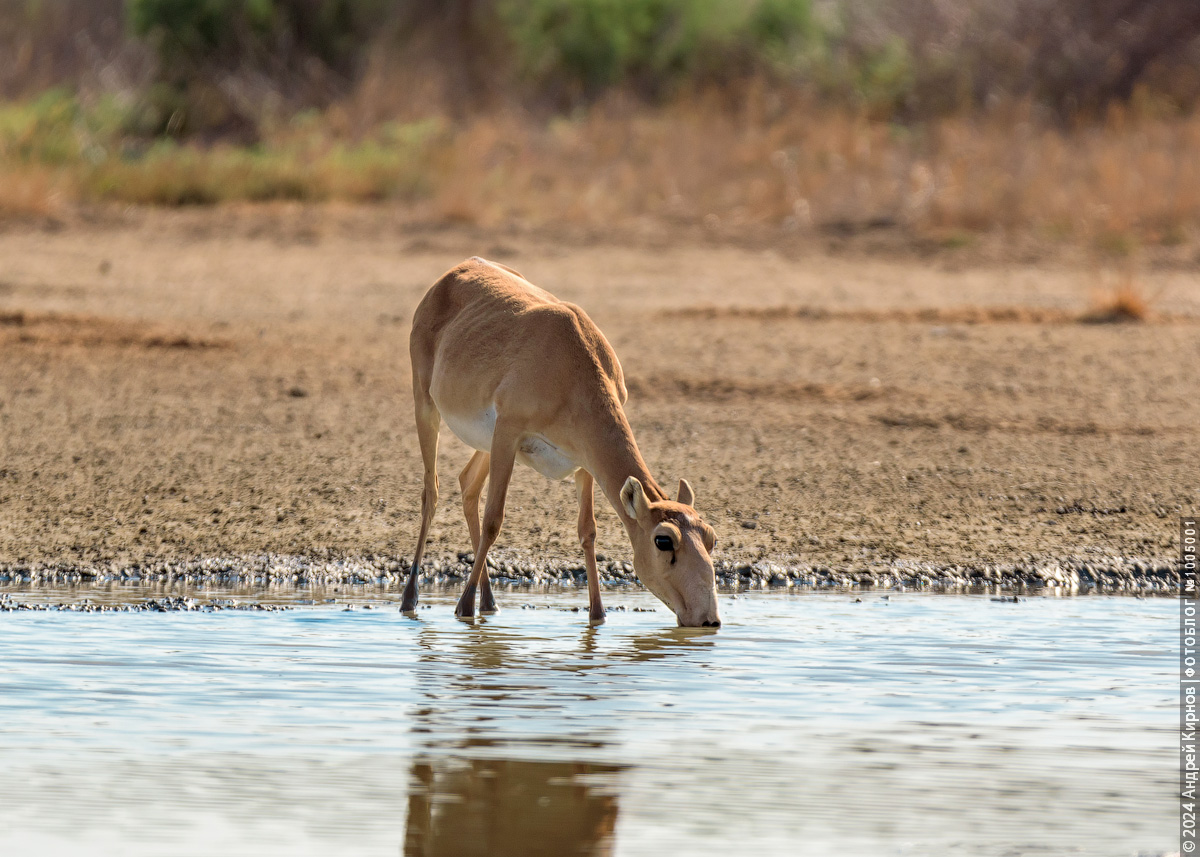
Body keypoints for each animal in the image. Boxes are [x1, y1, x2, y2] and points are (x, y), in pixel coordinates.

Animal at [403, 256, 720, 624]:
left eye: (710, 538)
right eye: (664, 540)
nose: (709, 618)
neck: (571, 363)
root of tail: (456, 271)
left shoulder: (584, 461)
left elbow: (588, 530)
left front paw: (597, 615)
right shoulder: (509, 432)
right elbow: (494, 519)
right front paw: (462, 608)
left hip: (485, 442)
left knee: (467, 484)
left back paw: (489, 602)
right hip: (427, 406)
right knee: (432, 492)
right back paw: (411, 600)